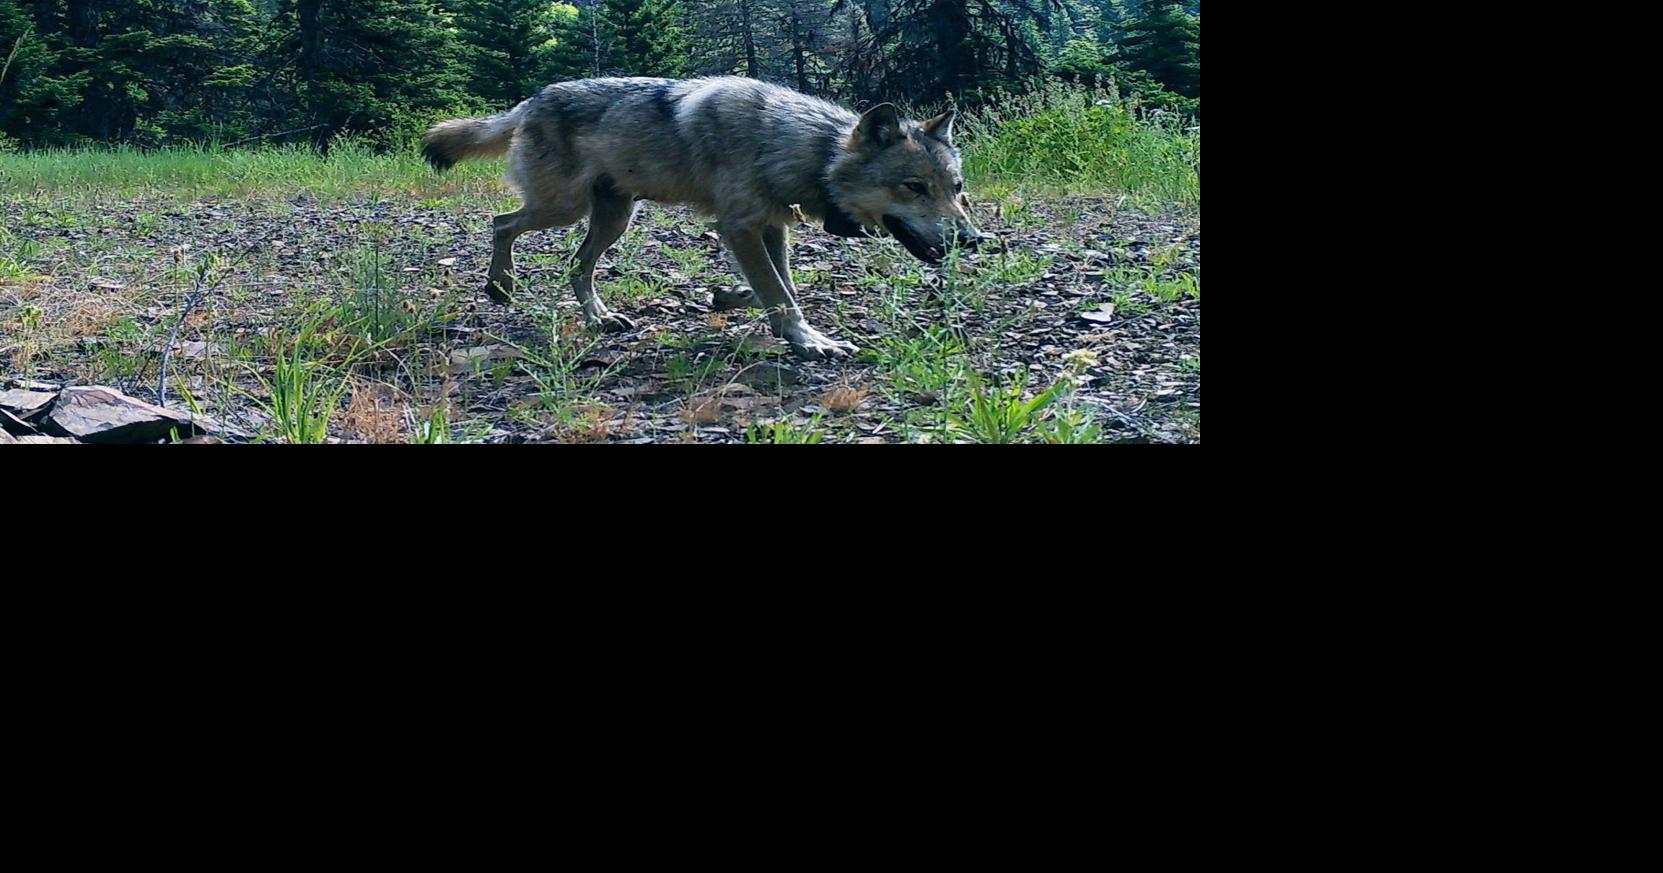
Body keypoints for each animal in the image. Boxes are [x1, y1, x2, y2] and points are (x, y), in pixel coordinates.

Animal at [423, 76, 987, 360]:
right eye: (914, 188)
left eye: (957, 189)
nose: (974, 239)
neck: (796, 146)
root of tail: (530, 100)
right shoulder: (738, 226)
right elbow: (781, 295)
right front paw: (810, 342)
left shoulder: (770, 227)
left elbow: (781, 288)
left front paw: (732, 297)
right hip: (563, 208)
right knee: (502, 223)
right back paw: (500, 286)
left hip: (613, 219)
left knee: (576, 265)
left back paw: (600, 318)